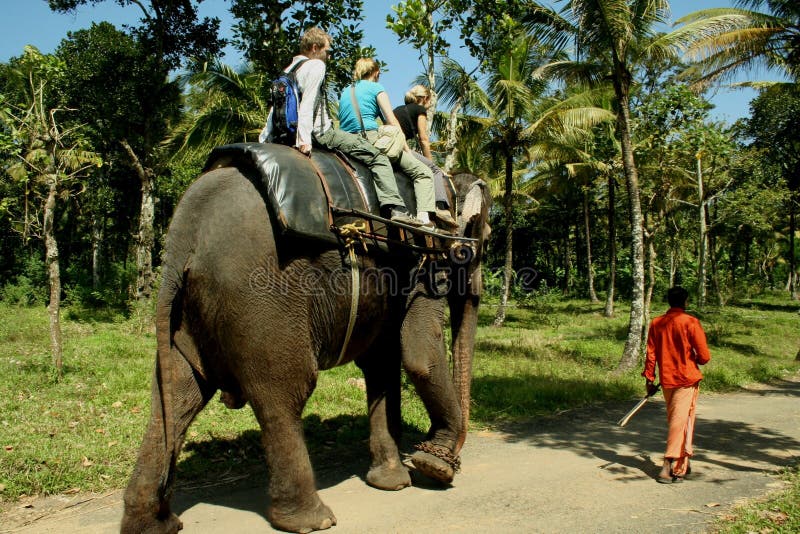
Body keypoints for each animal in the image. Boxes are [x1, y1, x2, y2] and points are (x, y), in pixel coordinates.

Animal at [120, 150, 491, 533]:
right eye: (484, 240)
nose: (453, 461)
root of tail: (185, 232)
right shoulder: (428, 255)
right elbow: (419, 355)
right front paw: (435, 466)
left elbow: (382, 361)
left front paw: (393, 481)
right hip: (262, 298)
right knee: (284, 393)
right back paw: (312, 519)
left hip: (188, 310)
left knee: (176, 395)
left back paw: (154, 525)